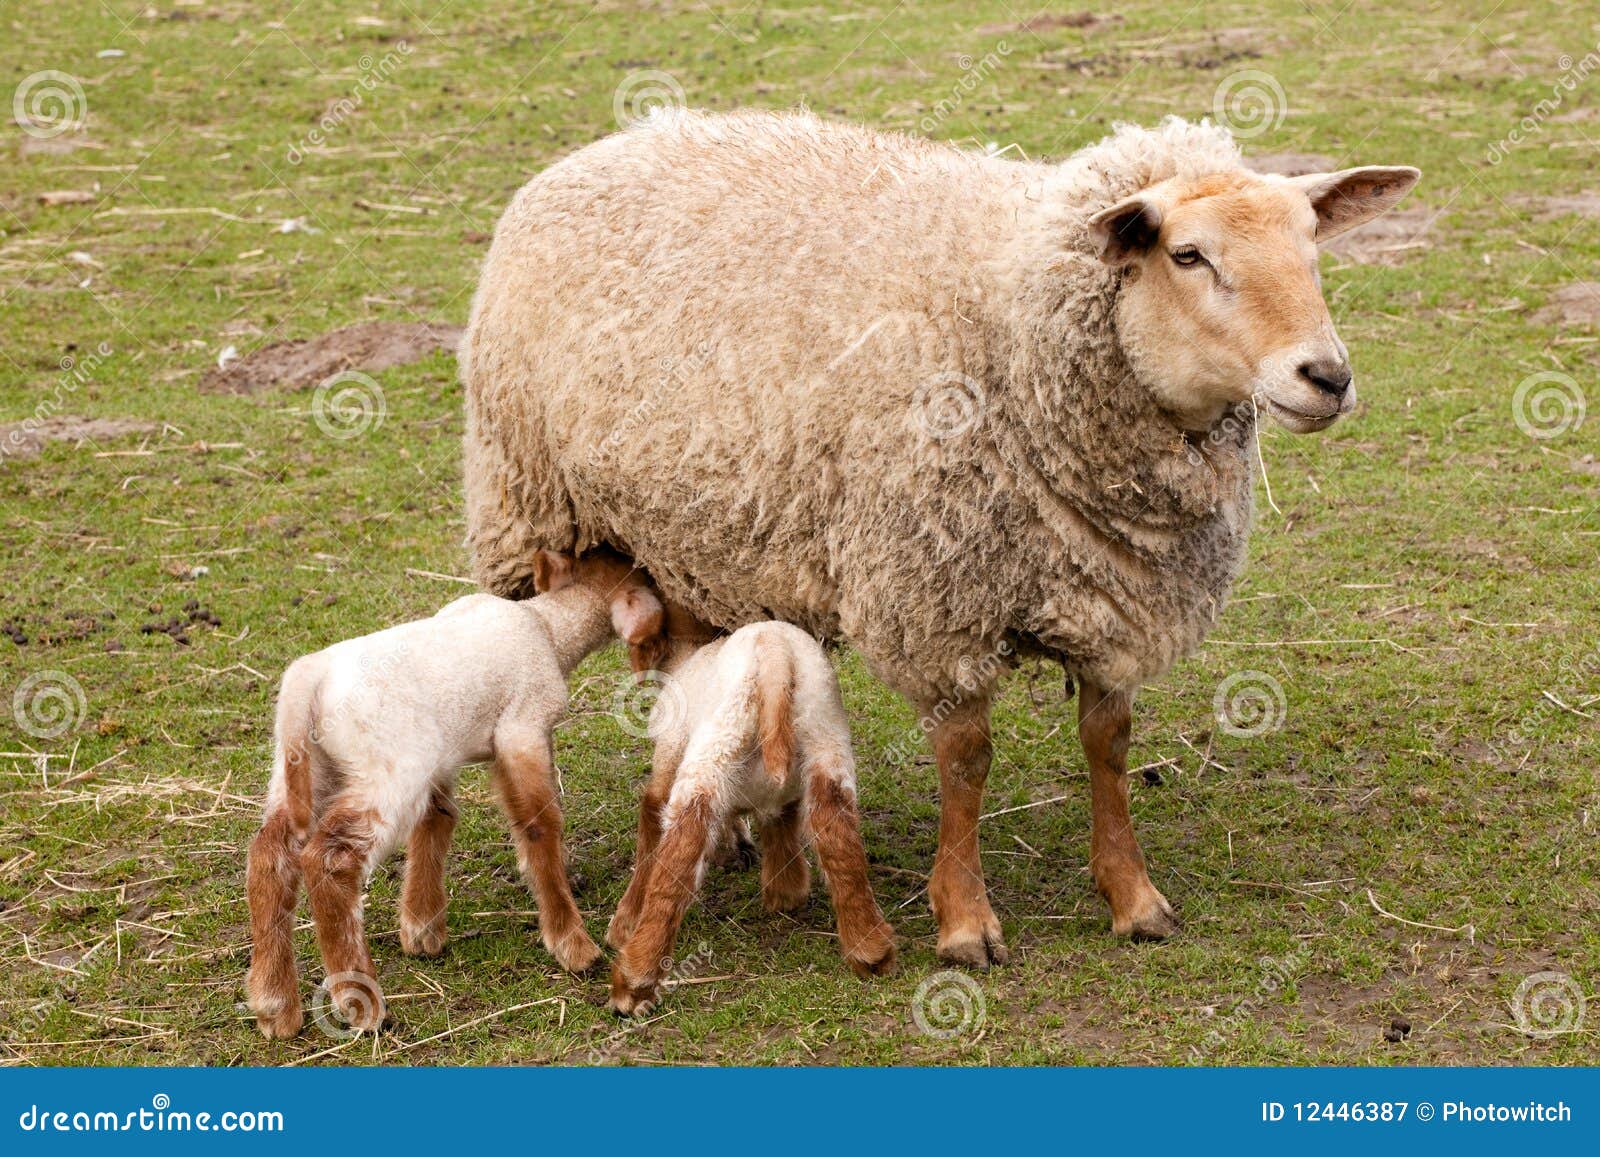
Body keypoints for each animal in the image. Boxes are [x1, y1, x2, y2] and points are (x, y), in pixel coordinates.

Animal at [244, 549, 663, 1039]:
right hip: (388, 770)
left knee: (270, 856)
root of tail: (309, 679)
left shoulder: (445, 756)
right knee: (329, 861)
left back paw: (275, 1005)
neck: (547, 625)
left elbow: (437, 819)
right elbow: (540, 824)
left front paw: (421, 928)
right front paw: (572, 944)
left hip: (305, 770)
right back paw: (360, 1002)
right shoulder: (522, 727)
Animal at [460, 109, 1419, 966]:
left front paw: (1133, 897)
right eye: (1187, 254)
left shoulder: (1112, 598)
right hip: (536, 508)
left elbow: (1108, 745)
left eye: (1312, 243)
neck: (1015, 328)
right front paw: (963, 919)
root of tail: (610, 141)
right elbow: (967, 761)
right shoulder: (939, 598)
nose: (1326, 376)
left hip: (699, 538)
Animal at [605, 620, 896, 1015]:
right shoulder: (784, 796)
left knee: (681, 852)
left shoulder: (669, 756)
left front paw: (624, 921)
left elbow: (651, 824)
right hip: (826, 741)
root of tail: (775, 652)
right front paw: (785, 890)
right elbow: (780, 822)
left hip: (712, 750)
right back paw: (871, 950)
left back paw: (633, 982)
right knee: (839, 839)